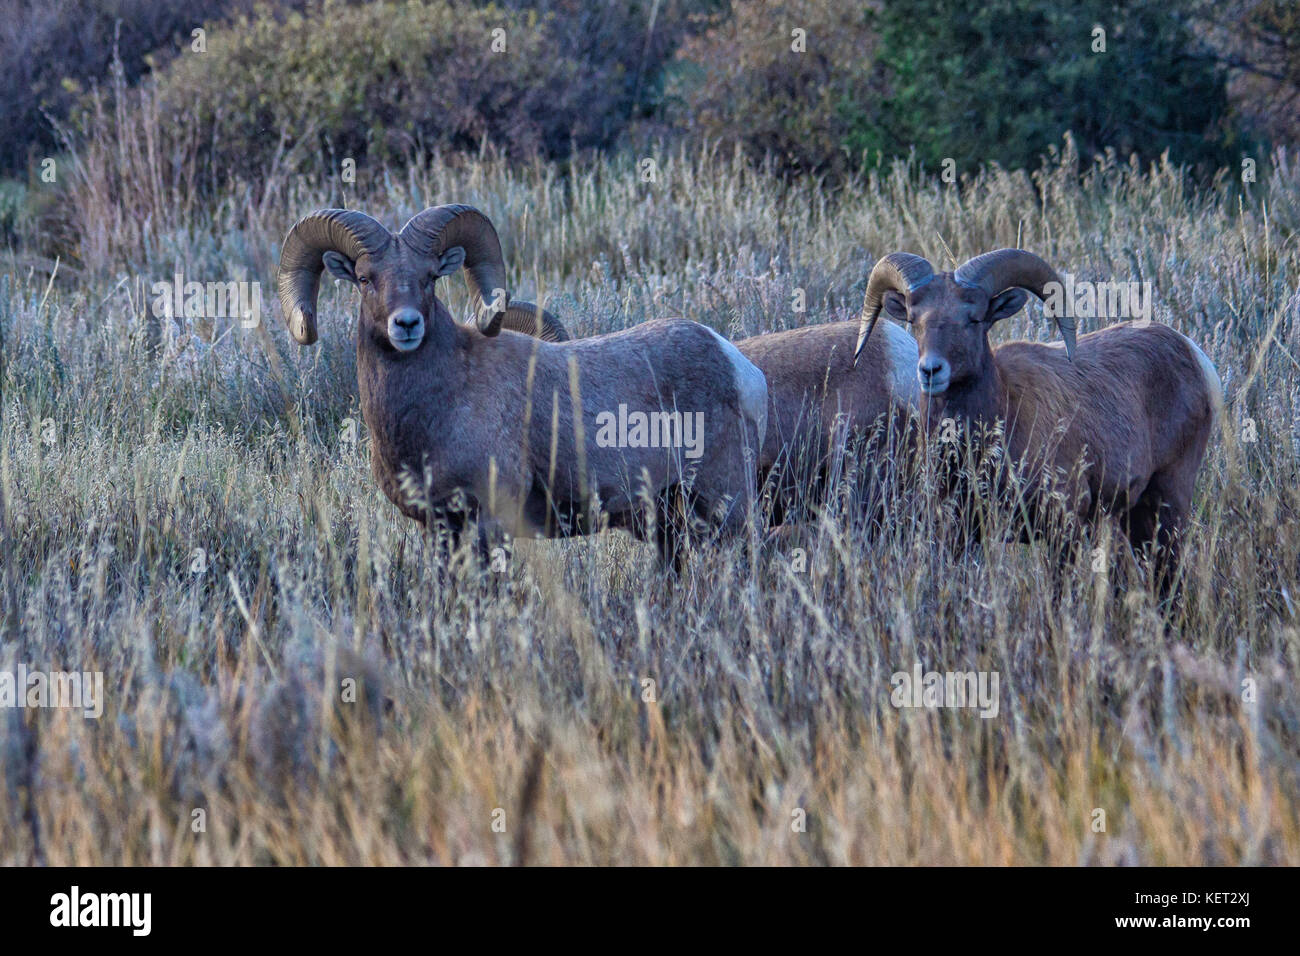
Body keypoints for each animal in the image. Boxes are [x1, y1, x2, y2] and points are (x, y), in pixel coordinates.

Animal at [277, 204, 767, 571]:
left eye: (431, 276)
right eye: (364, 279)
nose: (407, 324)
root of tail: (737, 364)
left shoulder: (490, 522)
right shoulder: (437, 525)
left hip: (725, 504)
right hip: (671, 521)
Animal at [853, 248, 1222, 589]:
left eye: (974, 319)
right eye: (914, 319)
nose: (931, 370)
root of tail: (1194, 355)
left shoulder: (1063, 528)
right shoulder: (961, 530)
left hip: (1168, 502)